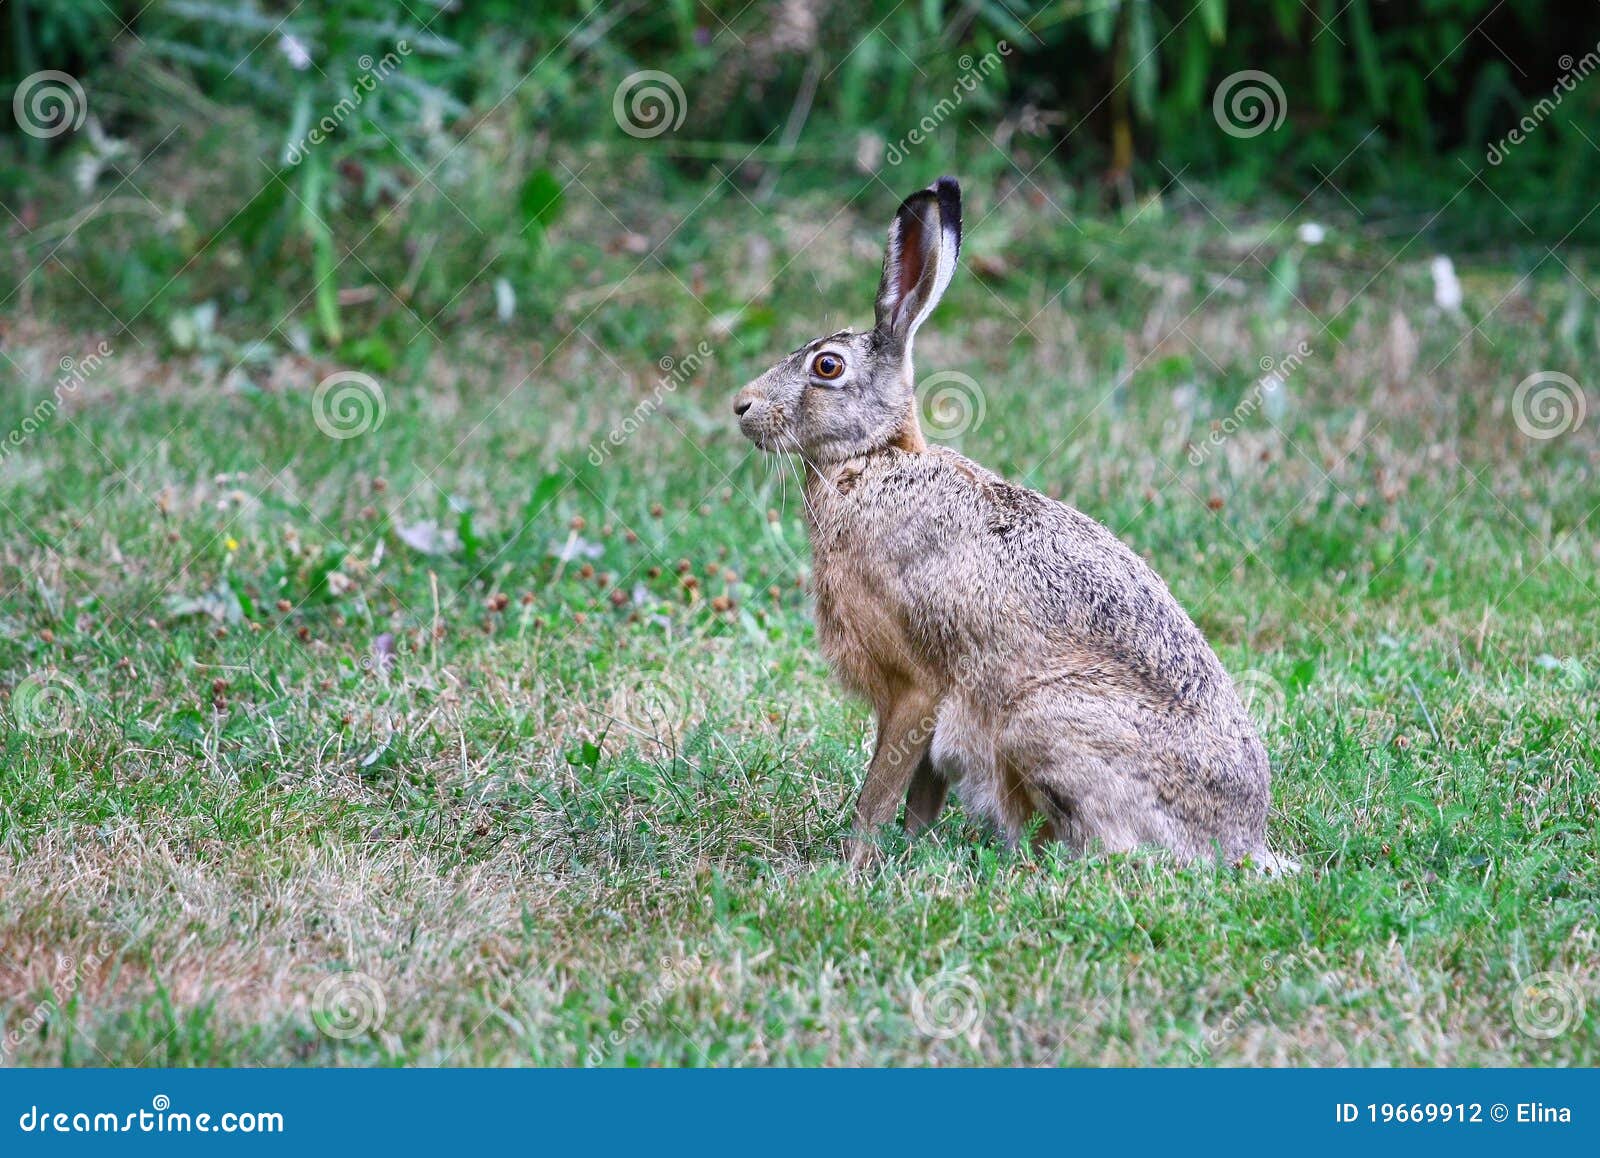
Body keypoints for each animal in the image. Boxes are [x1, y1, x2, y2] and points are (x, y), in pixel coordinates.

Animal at [733, 177, 1295, 874]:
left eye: (827, 367)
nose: (741, 406)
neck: (875, 459)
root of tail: (1243, 839)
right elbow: (921, 795)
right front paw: (908, 853)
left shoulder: (914, 688)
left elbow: (880, 790)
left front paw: (854, 866)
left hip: (1041, 719)